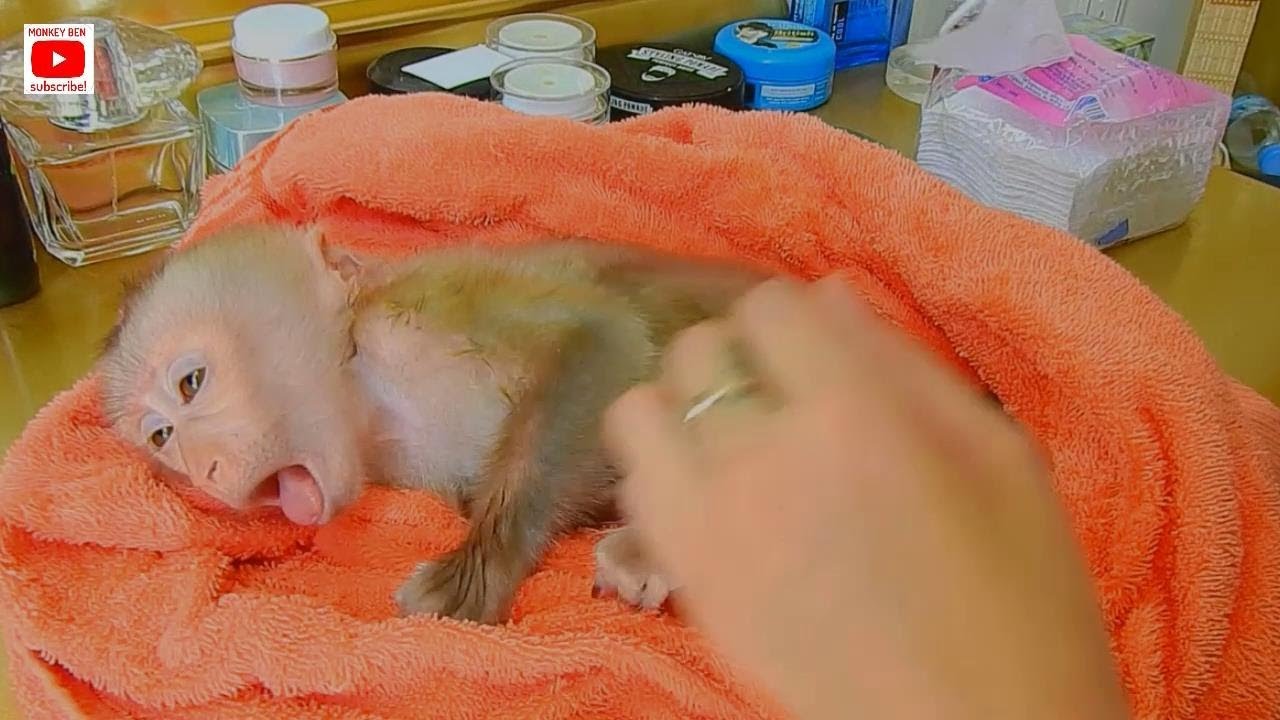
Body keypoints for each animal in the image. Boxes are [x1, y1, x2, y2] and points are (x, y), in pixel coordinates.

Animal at [96, 225, 771, 623]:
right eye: (162, 437)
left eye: (191, 382)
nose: (204, 470)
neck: (368, 392)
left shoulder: (423, 307)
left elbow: (605, 336)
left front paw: (480, 567)